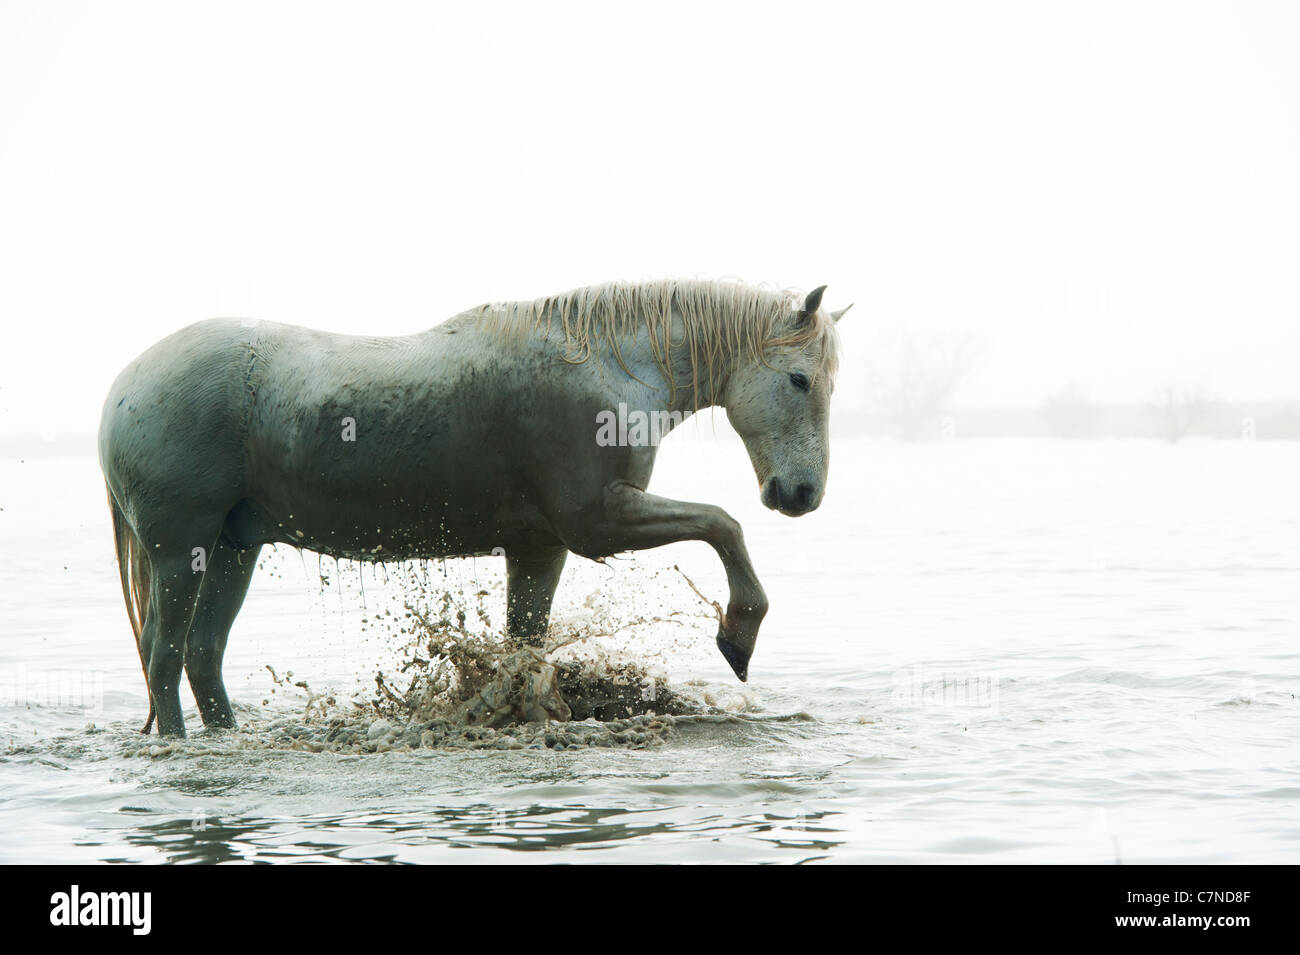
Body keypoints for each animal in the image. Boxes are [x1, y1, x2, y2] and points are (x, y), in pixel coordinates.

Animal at [99, 278, 847, 737]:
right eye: (799, 379)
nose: (802, 494)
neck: (609, 365)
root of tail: (122, 390)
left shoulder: (542, 547)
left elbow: (525, 648)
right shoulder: (597, 523)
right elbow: (724, 524)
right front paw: (739, 629)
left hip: (234, 548)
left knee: (202, 655)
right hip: (182, 551)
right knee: (165, 654)